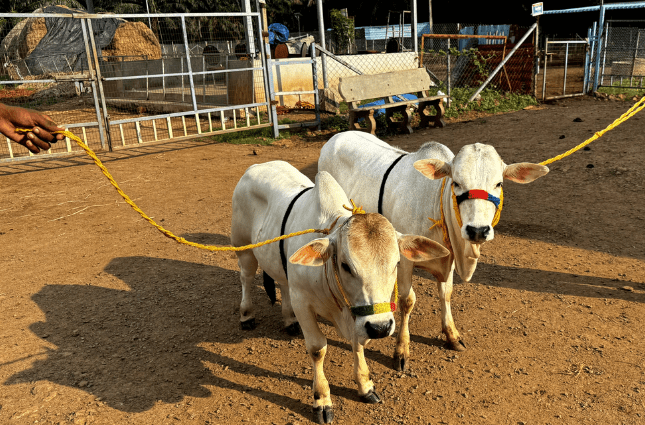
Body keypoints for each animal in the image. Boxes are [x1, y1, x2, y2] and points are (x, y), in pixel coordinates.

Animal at [231, 161, 449, 423]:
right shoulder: (303, 303)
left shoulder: (358, 315)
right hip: (244, 249)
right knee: (246, 277)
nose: (381, 328)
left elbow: (358, 343)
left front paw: (365, 386)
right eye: (346, 265)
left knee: (282, 282)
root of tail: (257, 166)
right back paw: (247, 315)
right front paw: (322, 399)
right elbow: (317, 349)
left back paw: (289, 321)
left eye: (397, 263)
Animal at [318, 131, 549, 370]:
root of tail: (336, 136)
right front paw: (401, 350)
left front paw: (452, 335)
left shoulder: (449, 258)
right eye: (456, 183)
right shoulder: (403, 259)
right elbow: (407, 301)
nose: (477, 230)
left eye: (499, 183)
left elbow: (446, 293)